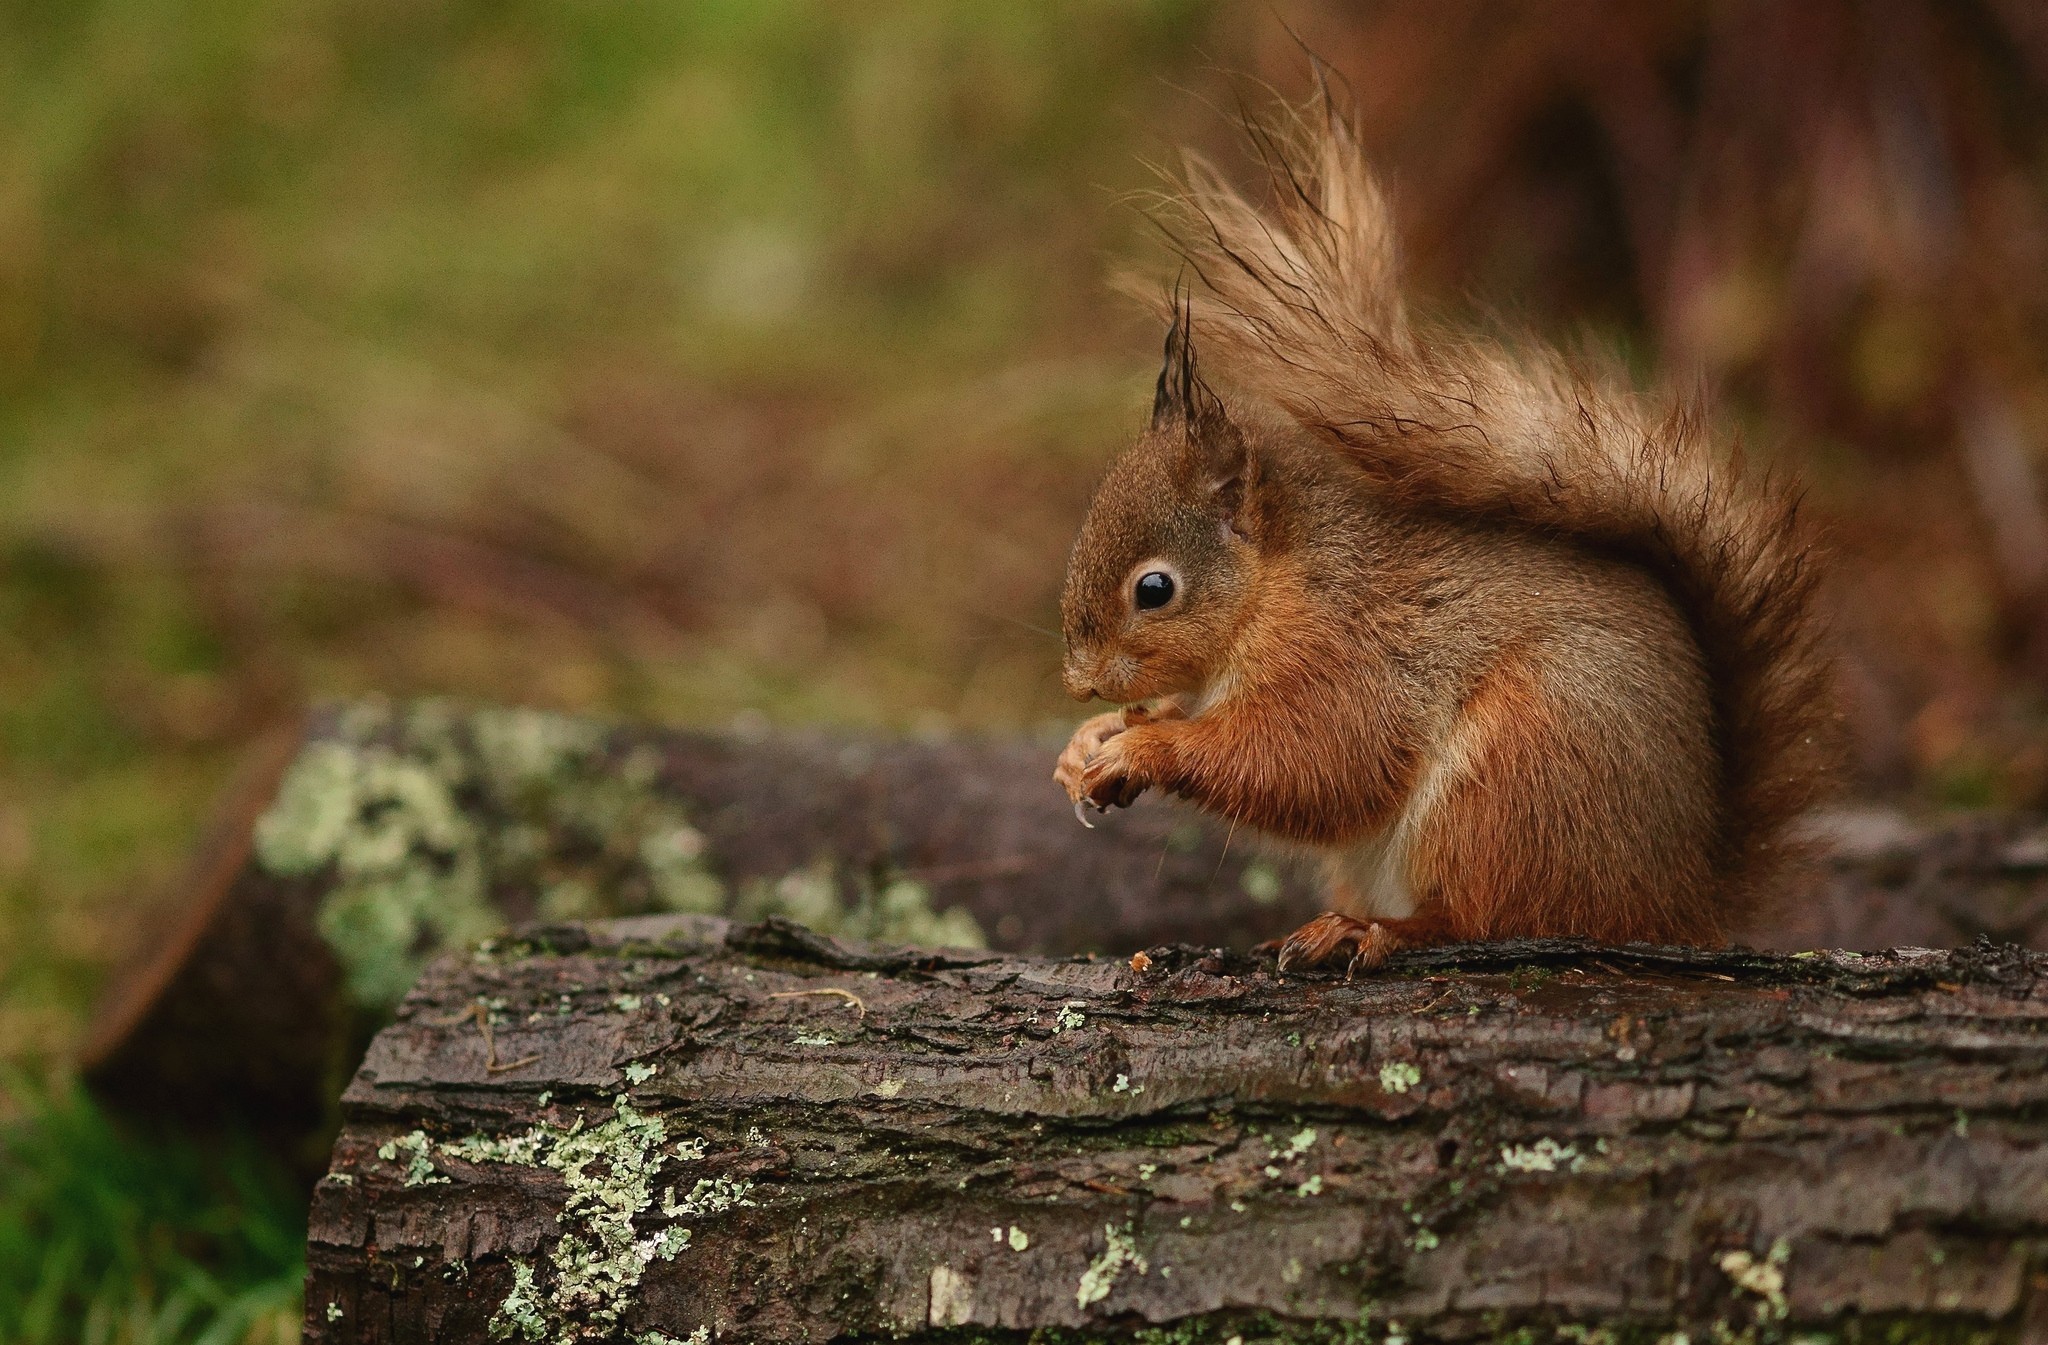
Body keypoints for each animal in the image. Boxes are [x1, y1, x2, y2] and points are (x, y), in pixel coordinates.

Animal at [1053, 98, 1839, 972]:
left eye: (1154, 589)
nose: (1078, 679)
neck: (1276, 584)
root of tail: (1677, 899)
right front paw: (1088, 742)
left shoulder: (1344, 652)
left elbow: (1316, 762)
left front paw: (1145, 747)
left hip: (1517, 777)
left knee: (1486, 914)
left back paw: (1373, 930)